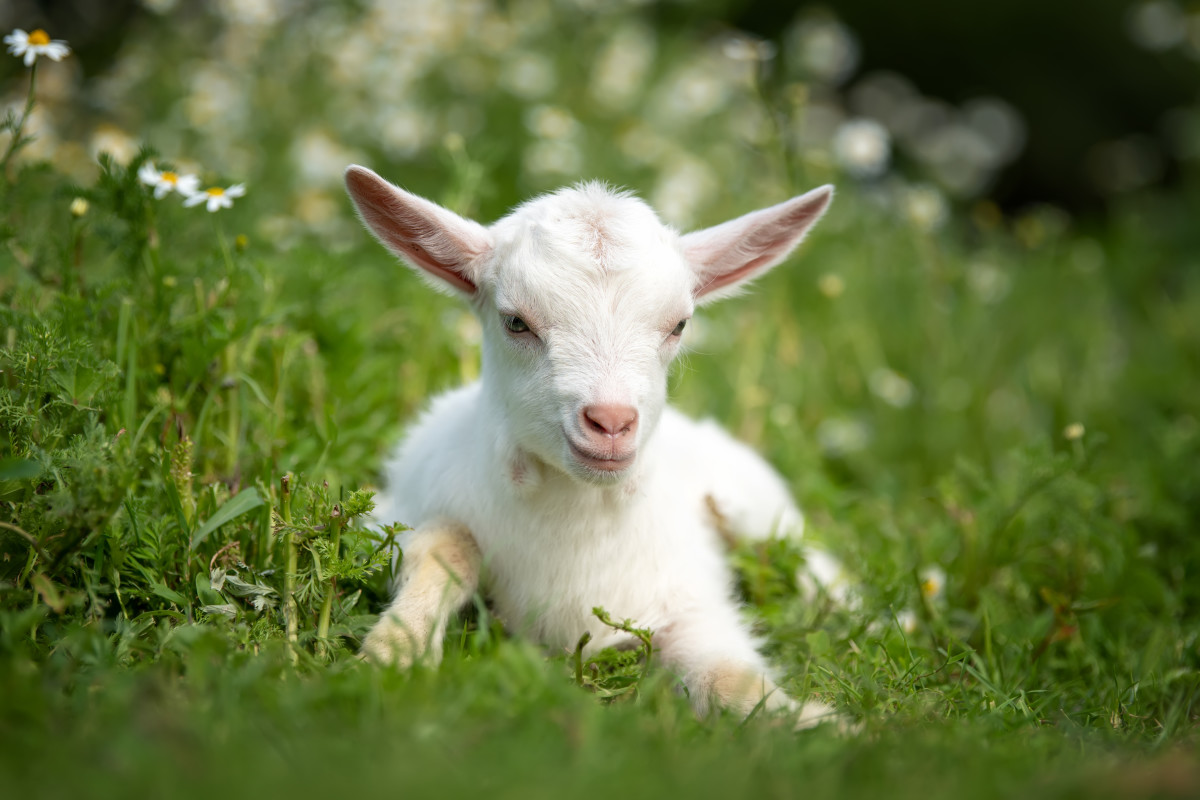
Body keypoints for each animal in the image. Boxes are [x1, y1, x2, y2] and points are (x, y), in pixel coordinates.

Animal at [345, 165, 840, 723]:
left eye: (679, 325)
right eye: (515, 321)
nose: (611, 422)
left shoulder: (688, 597)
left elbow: (729, 678)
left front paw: (821, 724)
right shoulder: (389, 515)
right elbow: (446, 544)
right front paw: (393, 656)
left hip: (761, 511)